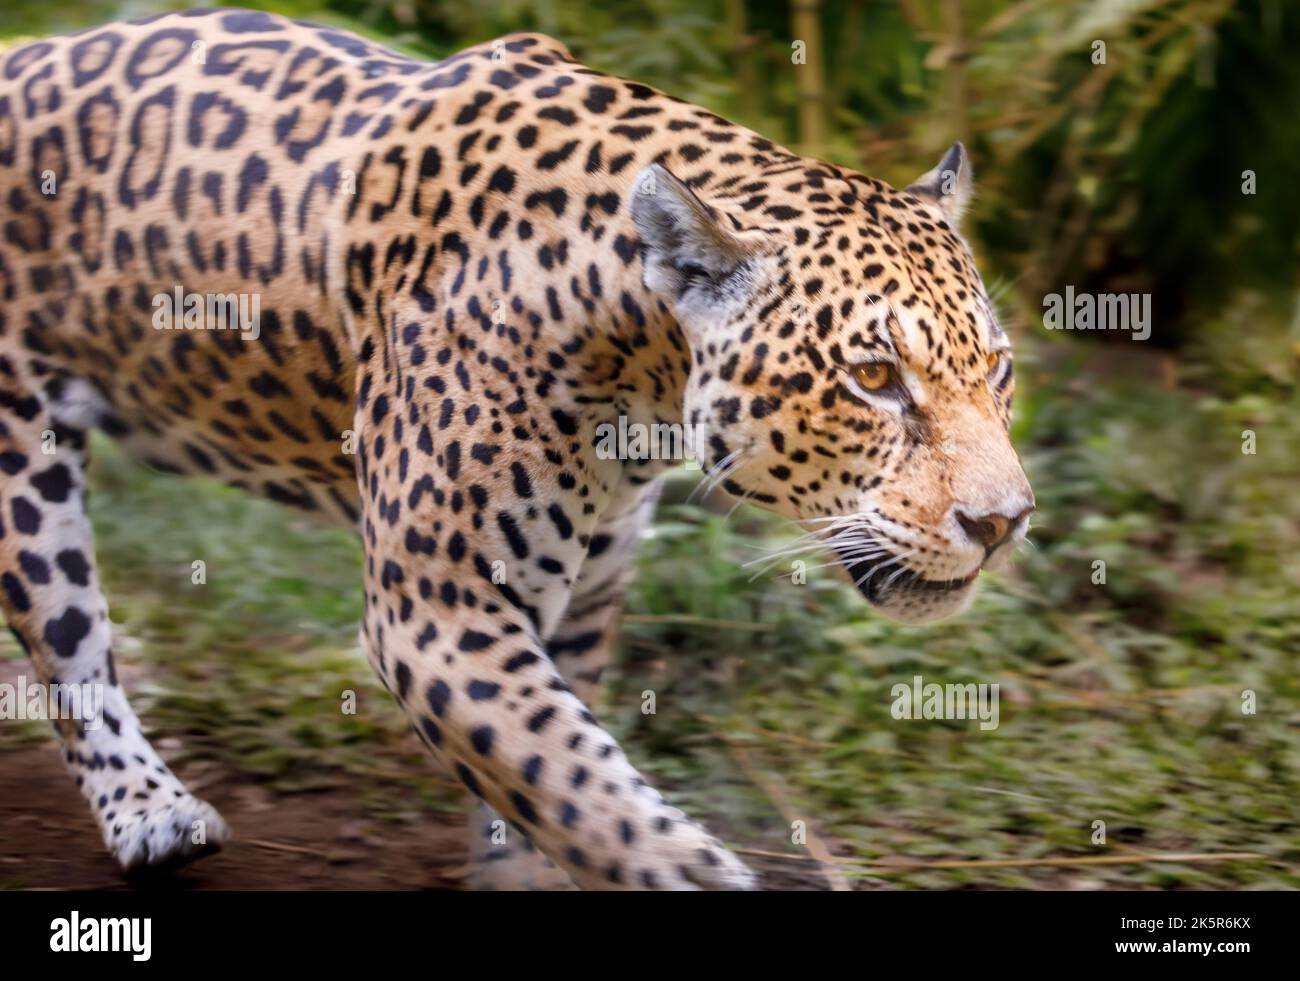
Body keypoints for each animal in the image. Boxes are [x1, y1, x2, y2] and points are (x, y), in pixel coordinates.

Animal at [0, 7, 1034, 890]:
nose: (1003, 523)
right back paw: (151, 812)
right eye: (875, 377)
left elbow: (545, 773)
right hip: (24, 461)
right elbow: (577, 782)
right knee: (71, 645)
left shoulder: (582, 591)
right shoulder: (436, 608)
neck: (638, 369)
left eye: (999, 368)